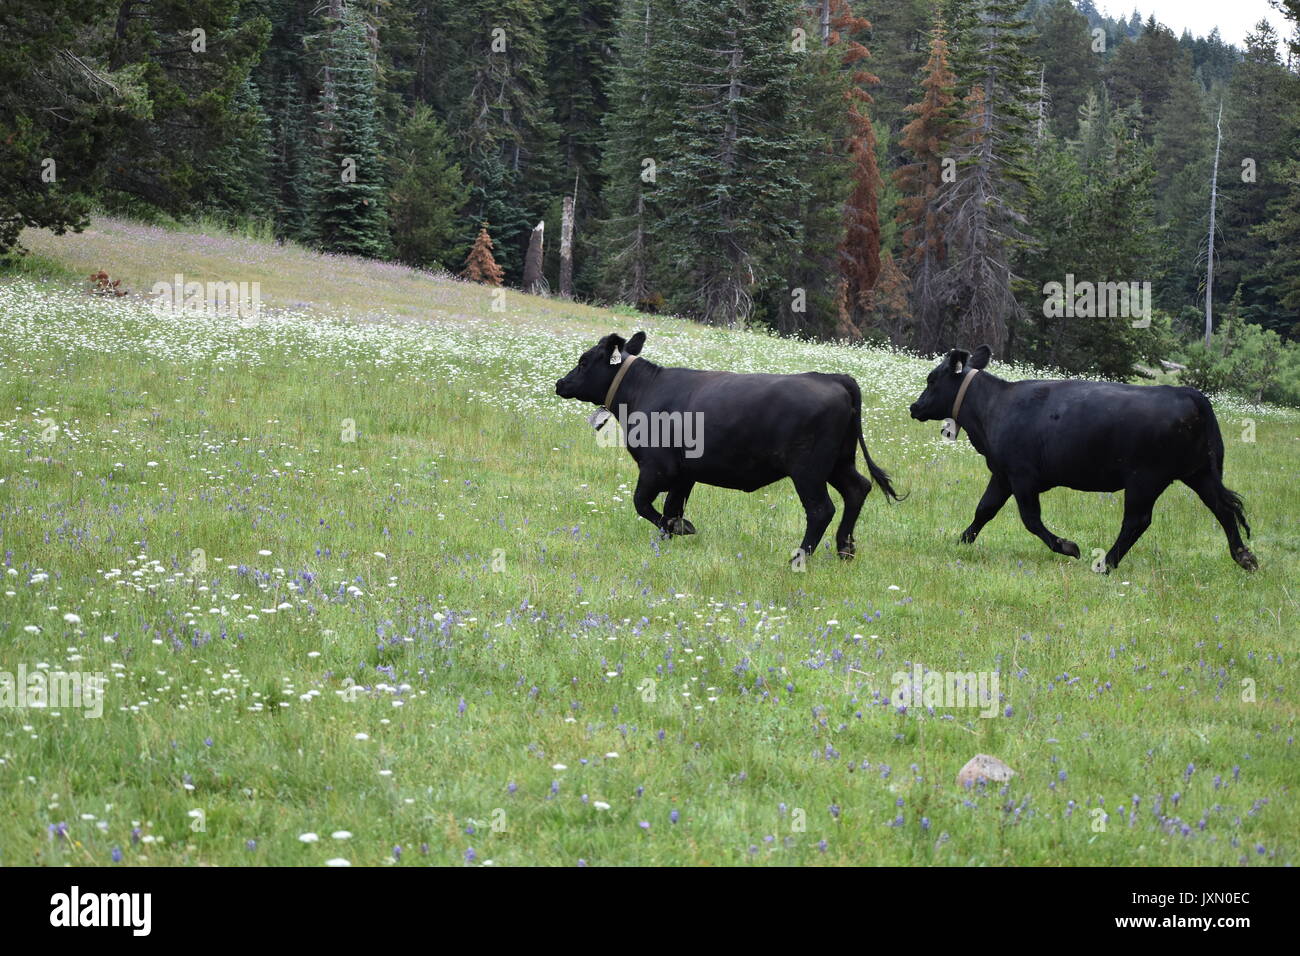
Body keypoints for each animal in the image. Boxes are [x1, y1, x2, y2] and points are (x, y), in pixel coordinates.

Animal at [555, 331, 902, 564]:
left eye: (584, 362)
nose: (560, 383)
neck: (644, 391)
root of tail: (833, 378)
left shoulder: (656, 467)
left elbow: (641, 503)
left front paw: (681, 529)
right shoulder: (684, 473)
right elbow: (671, 507)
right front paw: (669, 537)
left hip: (809, 469)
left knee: (821, 509)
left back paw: (798, 559)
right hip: (839, 461)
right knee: (857, 489)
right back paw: (845, 550)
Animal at [908, 344, 1257, 571]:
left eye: (931, 379)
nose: (914, 407)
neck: (994, 407)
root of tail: (1188, 394)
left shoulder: (1022, 475)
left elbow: (1030, 519)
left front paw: (1067, 546)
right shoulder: (1002, 474)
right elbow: (984, 509)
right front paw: (962, 541)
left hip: (1145, 478)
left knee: (1137, 521)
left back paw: (1106, 563)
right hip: (1200, 472)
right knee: (1223, 509)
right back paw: (1244, 557)